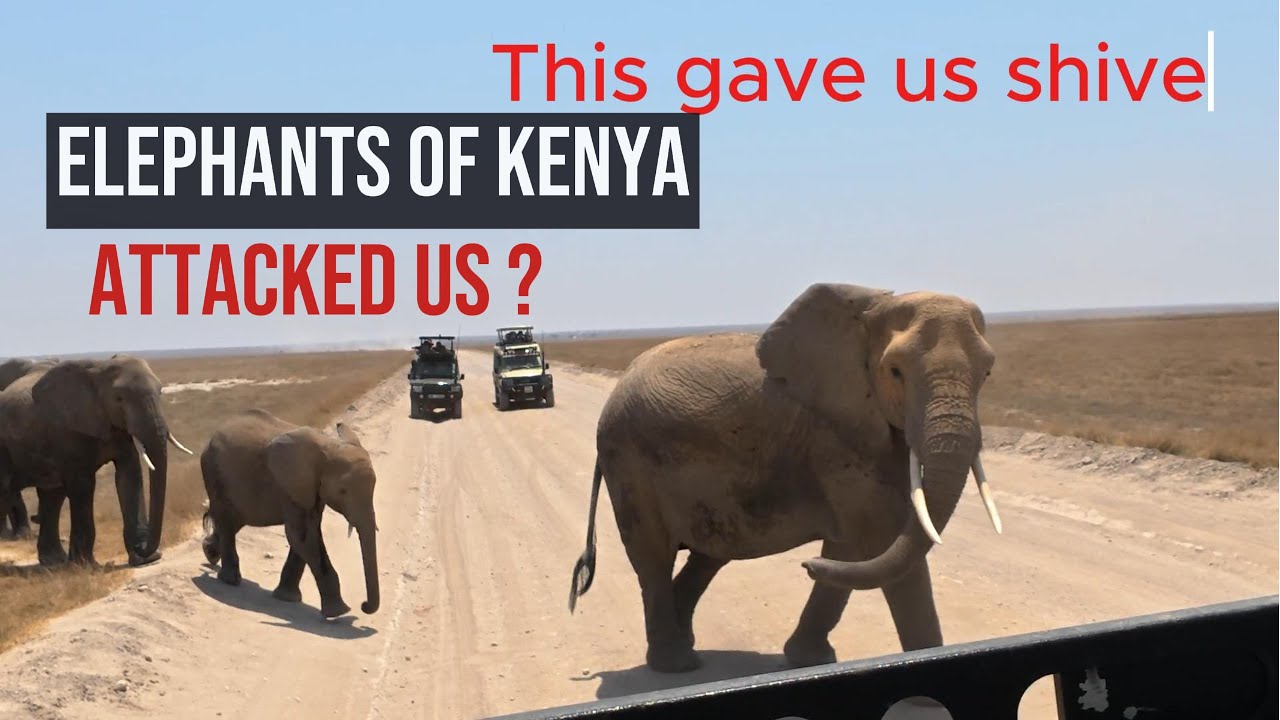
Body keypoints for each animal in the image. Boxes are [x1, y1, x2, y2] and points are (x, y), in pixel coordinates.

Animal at [0, 355, 192, 566]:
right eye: (119, 398)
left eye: (160, 392)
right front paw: (85, 565)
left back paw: (54, 561)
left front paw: (145, 559)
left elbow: (129, 476)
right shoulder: (69, 430)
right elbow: (83, 486)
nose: (141, 548)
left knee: (52, 496)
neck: (99, 370)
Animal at [200, 409, 380, 618]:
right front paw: (338, 612)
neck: (329, 447)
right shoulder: (291, 487)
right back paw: (230, 580)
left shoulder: (311, 490)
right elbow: (302, 537)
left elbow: (306, 535)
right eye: (342, 491)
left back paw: (209, 553)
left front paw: (287, 598)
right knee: (227, 520)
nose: (364, 606)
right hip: (214, 473)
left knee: (234, 520)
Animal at [567, 283, 1004, 673]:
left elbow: (853, 548)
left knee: (708, 555)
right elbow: (881, 539)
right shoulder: (835, 435)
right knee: (653, 559)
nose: (805, 564)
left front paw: (809, 658)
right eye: (895, 372)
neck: (872, 311)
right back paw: (675, 665)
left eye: (987, 372)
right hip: (629, 461)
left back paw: (686, 646)